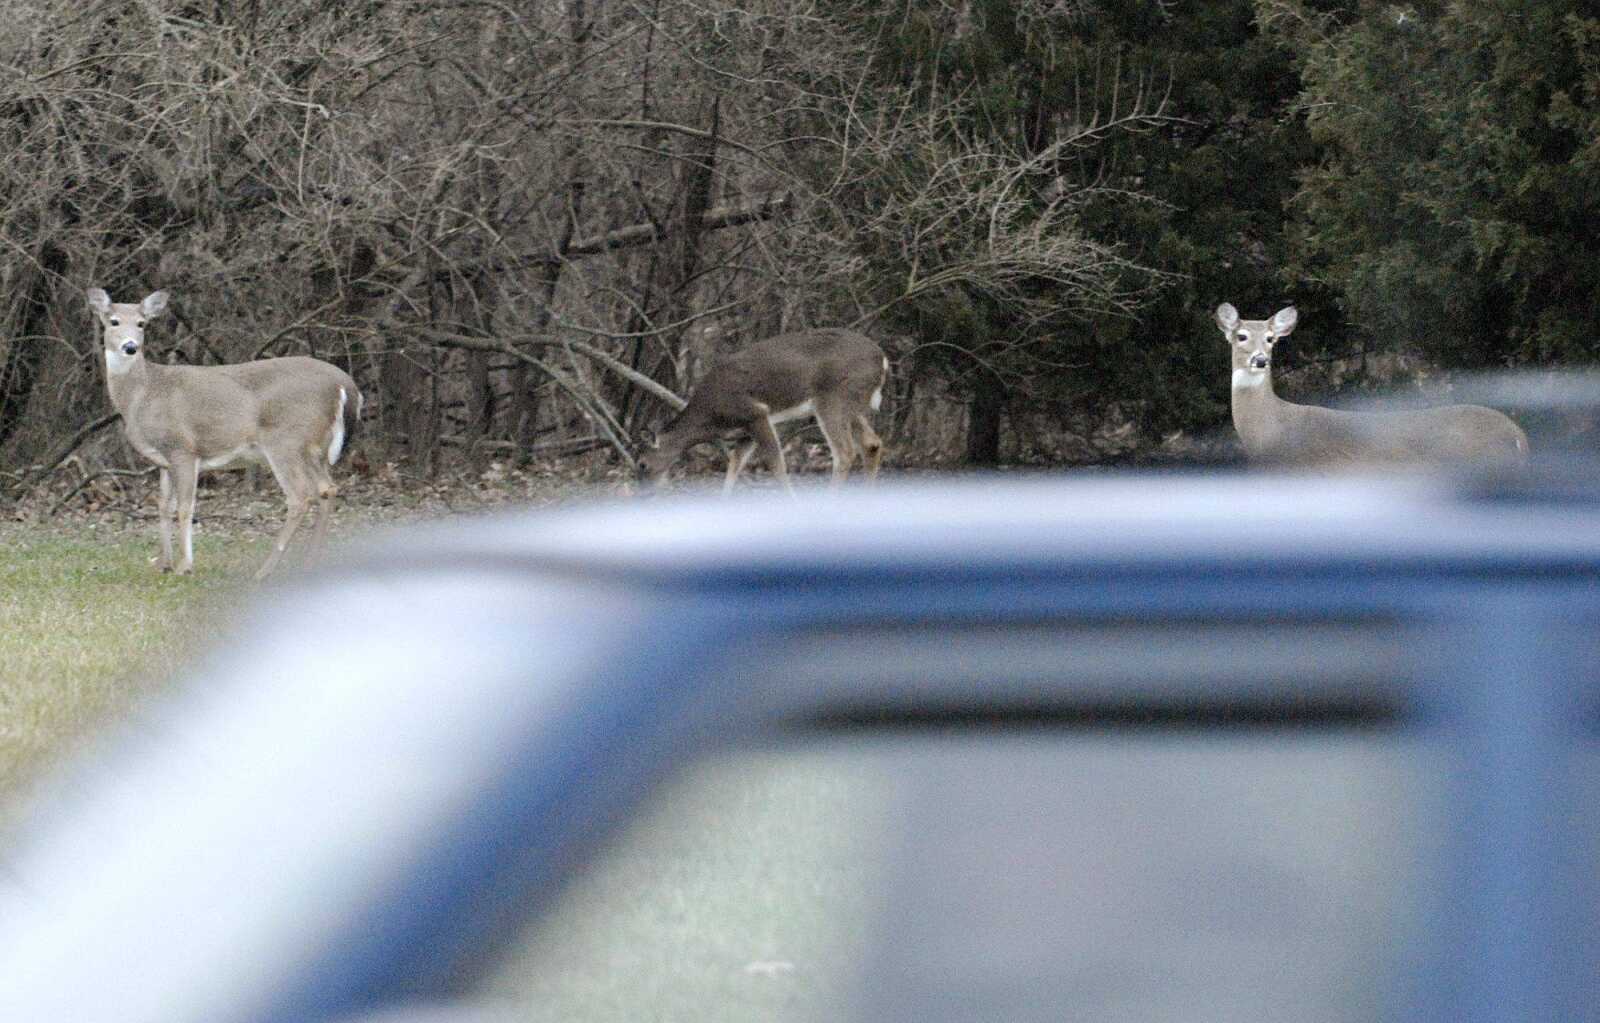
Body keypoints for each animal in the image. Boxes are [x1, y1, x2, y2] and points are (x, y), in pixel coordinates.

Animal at [88, 288, 363, 580]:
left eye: (141, 324)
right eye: (114, 321)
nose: (130, 346)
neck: (143, 394)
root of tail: (346, 385)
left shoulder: (183, 448)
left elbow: (185, 508)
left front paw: (184, 566)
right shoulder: (163, 460)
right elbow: (163, 506)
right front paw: (164, 564)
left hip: (286, 441)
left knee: (300, 497)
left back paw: (264, 571)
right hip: (314, 448)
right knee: (327, 489)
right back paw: (310, 564)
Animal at [637, 327, 889, 494]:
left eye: (642, 464)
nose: (643, 493)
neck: (711, 418)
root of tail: (883, 359)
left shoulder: (754, 412)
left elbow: (775, 464)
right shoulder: (744, 431)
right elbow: (735, 463)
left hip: (833, 398)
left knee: (845, 452)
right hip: (851, 404)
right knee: (872, 443)